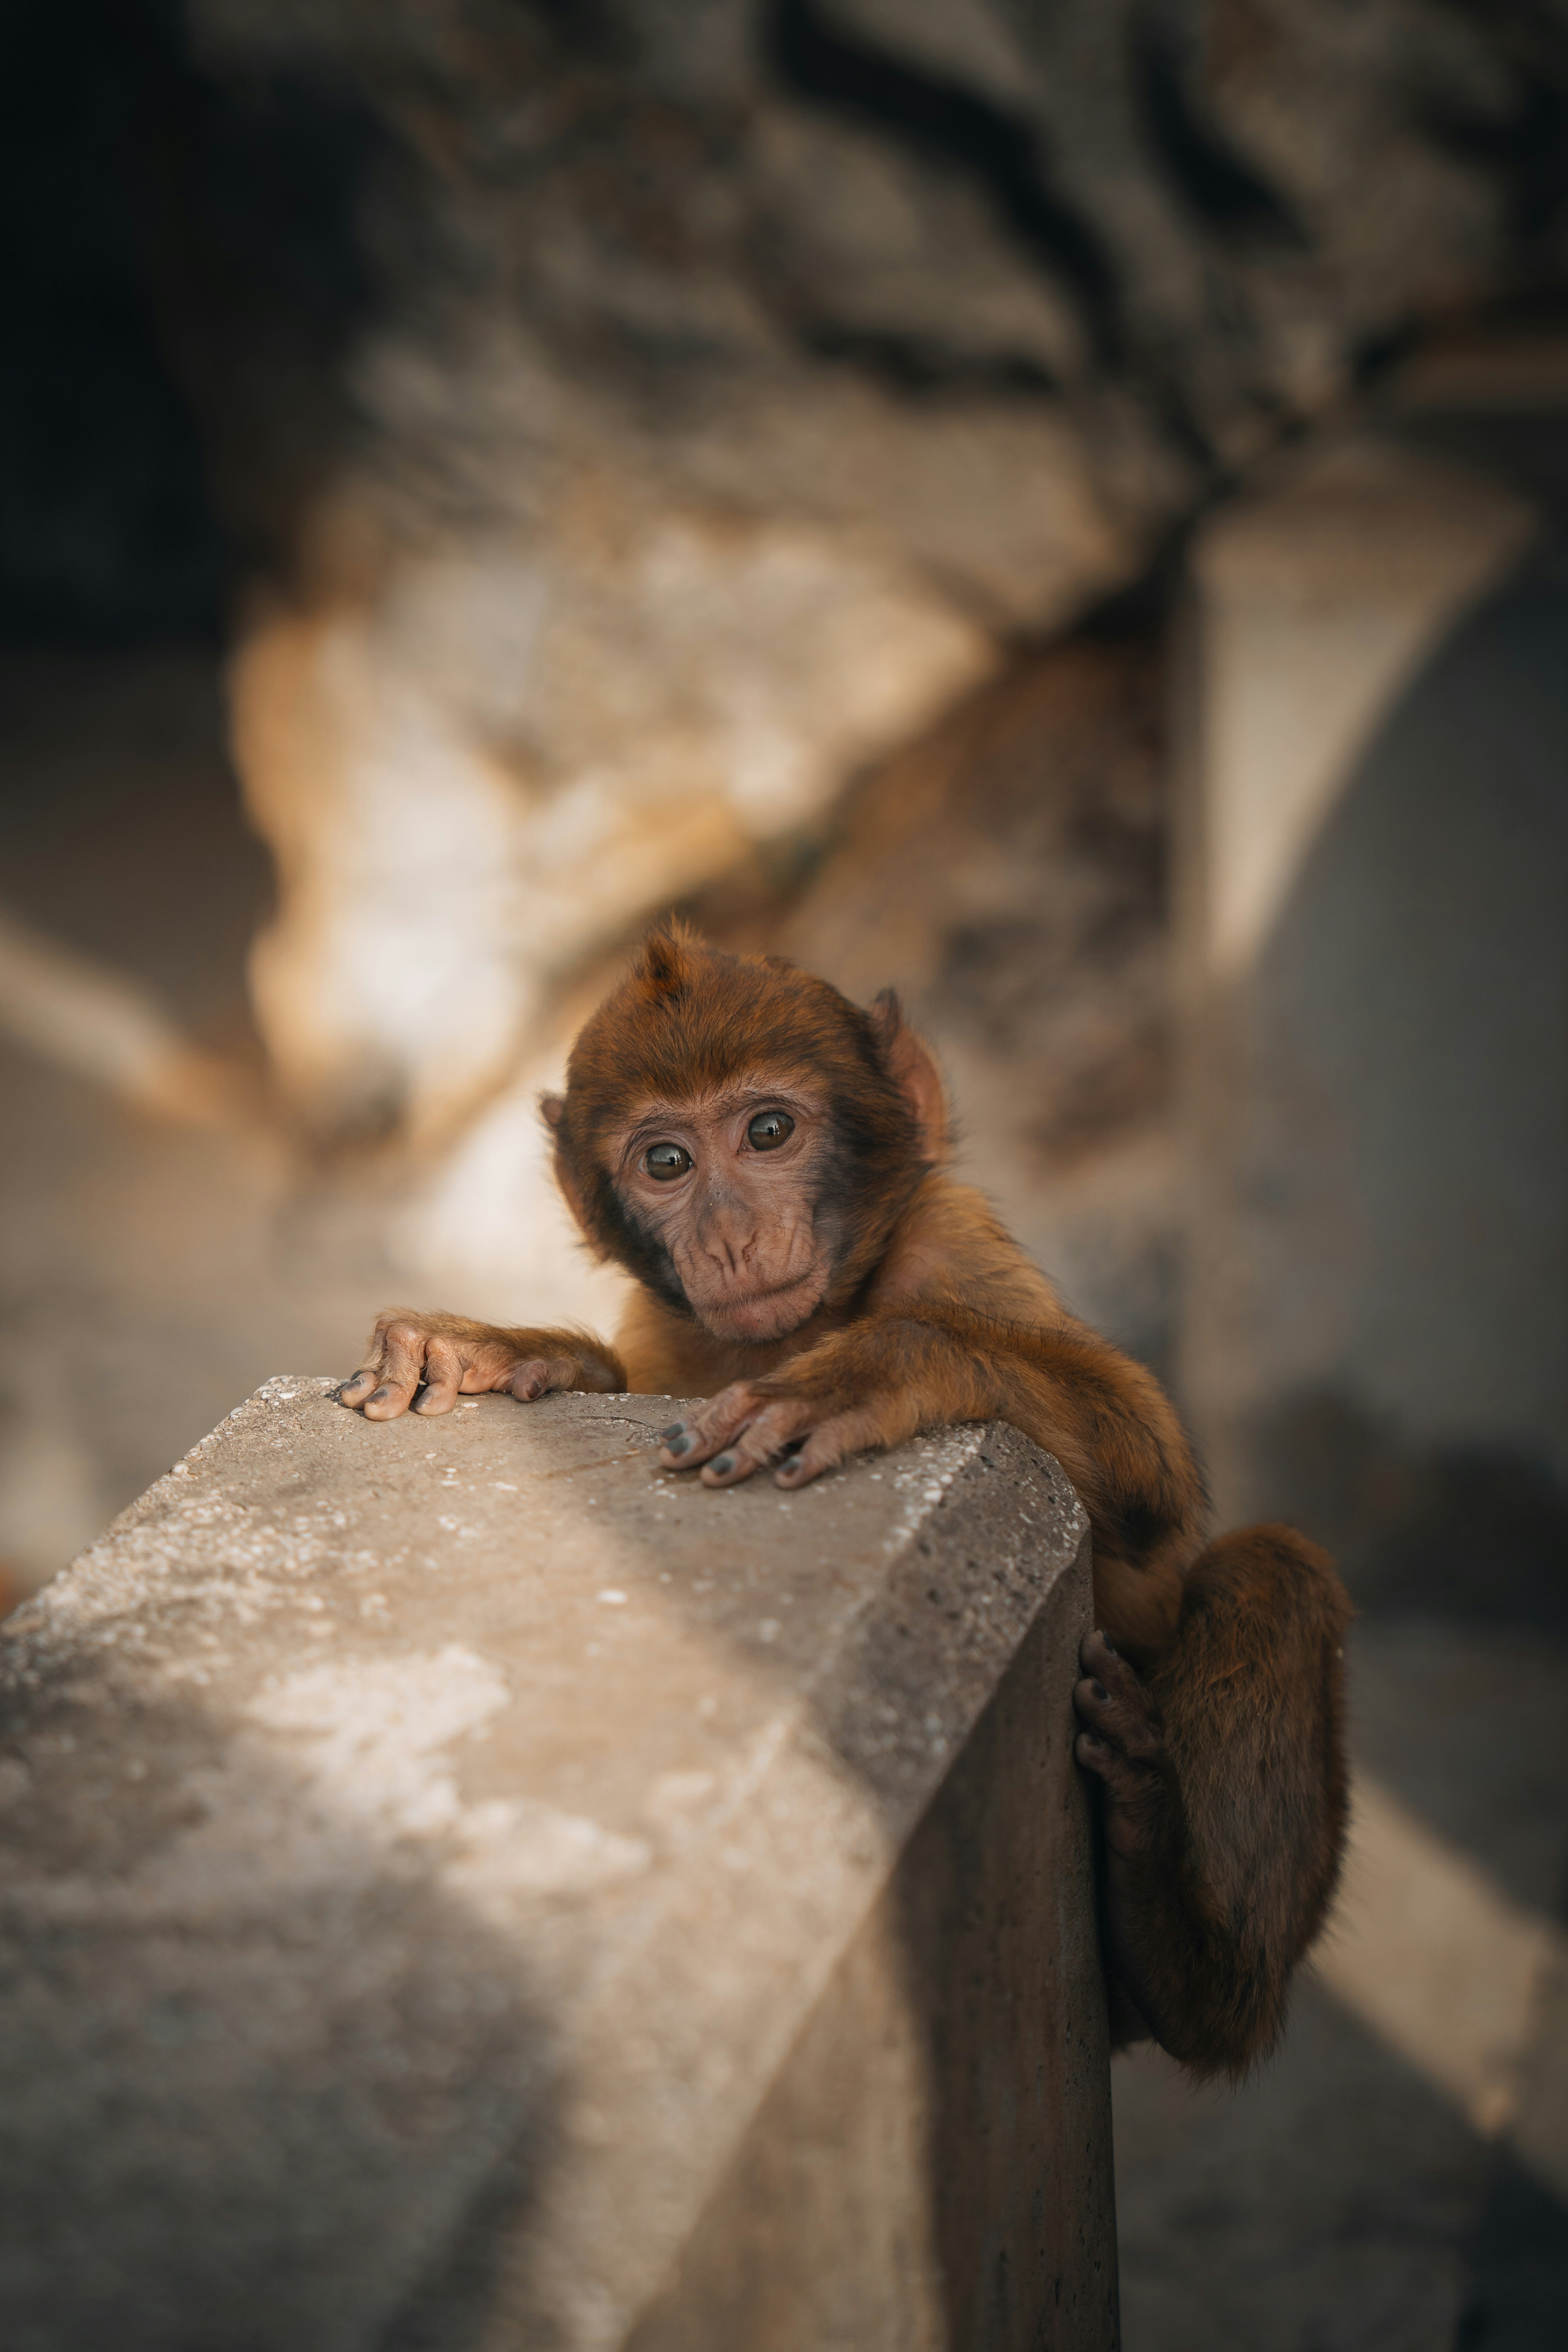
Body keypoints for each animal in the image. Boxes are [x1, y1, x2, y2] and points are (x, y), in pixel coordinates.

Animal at [339, 926, 1351, 2078]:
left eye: (769, 1131)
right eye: (666, 1162)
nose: (730, 1238)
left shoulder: (949, 1238)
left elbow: (1150, 1468)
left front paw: (878, 1369)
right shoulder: (668, 1325)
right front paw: (504, 1351)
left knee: (1268, 1572)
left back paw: (1171, 1932)